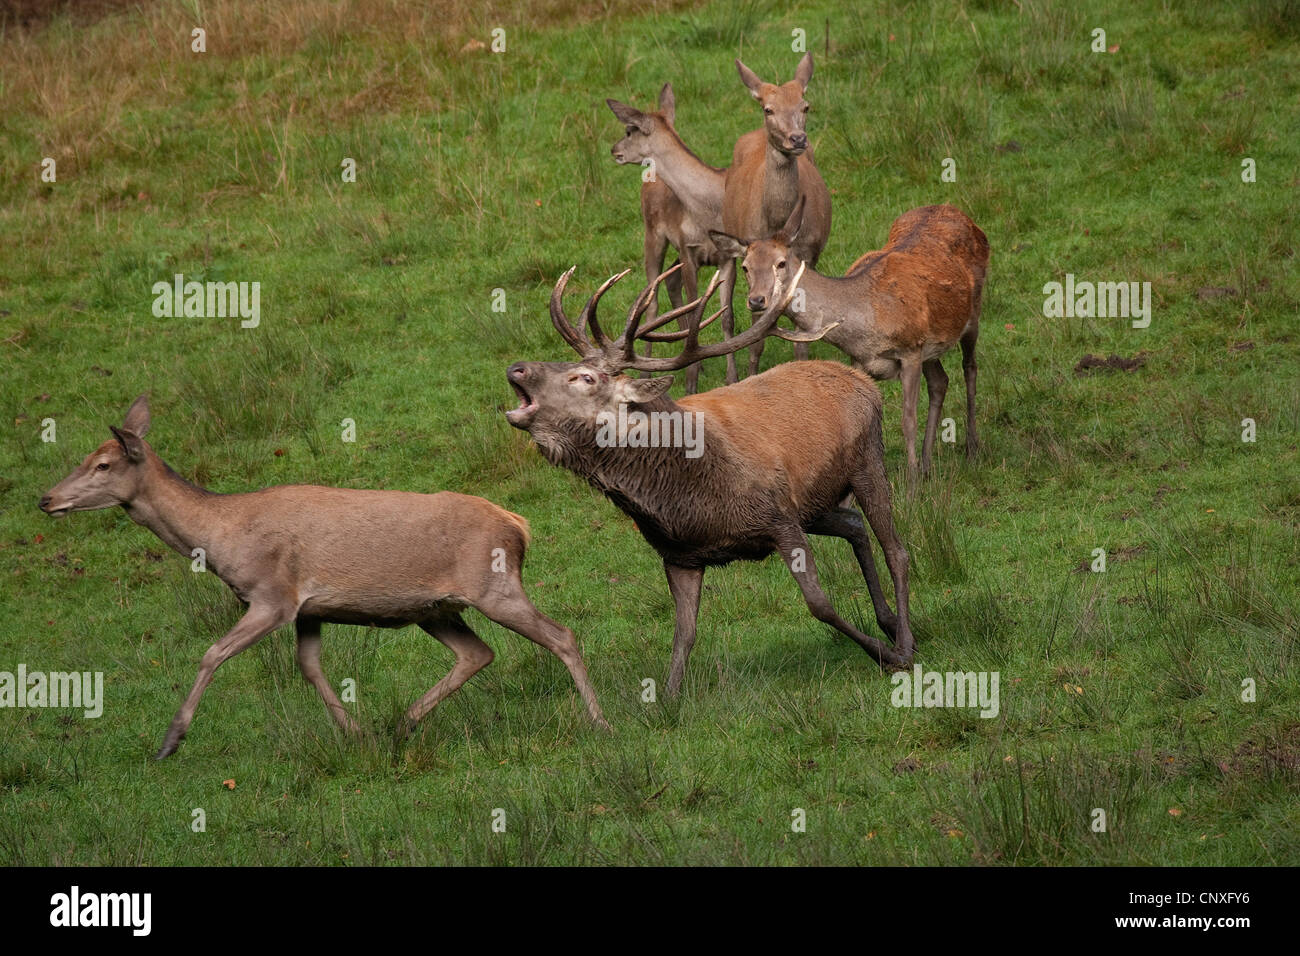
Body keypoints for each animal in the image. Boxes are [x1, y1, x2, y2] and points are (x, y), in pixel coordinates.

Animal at [38, 396, 607, 758]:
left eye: (104, 464)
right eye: (86, 458)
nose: (46, 498)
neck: (222, 537)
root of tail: (518, 525)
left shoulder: (271, 595)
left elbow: (212, 653)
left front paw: (170, 742)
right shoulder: (308, 609)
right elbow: (308, 666)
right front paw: (355, 732)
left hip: (494, 586)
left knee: (562, 634)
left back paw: (599, 722)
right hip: (435, 608)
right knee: (478, 653)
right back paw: (401, 724)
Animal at [504, 262, 916, 696]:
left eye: (585, 378)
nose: (517, 368)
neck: (692, 495)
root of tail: (862, 380)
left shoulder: (778, 519)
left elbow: (819, 604)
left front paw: (888, 657)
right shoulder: (680, 554)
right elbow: (683, 634)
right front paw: (669, 699)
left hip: (867, 460)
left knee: (897, 550)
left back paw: (905, 640)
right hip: (815, 505)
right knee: (854, 524)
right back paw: (889, 622)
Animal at [608, 84, 727, 394]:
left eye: (629, 130)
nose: (614, 150)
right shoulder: (688, 251)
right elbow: (695, 307)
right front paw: (691, 382)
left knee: (671, 286)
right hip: (653, 238)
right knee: (652, 301)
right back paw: (645, 373)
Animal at [710, 199, 990, 478]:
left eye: (780, 263)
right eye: (745, 267)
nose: (757, 300)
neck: (867, 322)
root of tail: (955, 210)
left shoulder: (911, 349)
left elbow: (908, 419)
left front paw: (911, 483)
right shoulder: (860, 359)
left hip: (972, 316)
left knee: (970, 368)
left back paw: (972, 448)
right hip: (931, 347)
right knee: (940, 381)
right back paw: (927, 464)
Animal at [720, 52, 833, 382]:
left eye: (805, 106)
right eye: (767, 109)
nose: (797, 139)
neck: (776, 221)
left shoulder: (807, 255)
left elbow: (801, 336)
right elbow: (755, 339)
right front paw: (749, 375)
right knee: (727, 316)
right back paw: (732, 374)